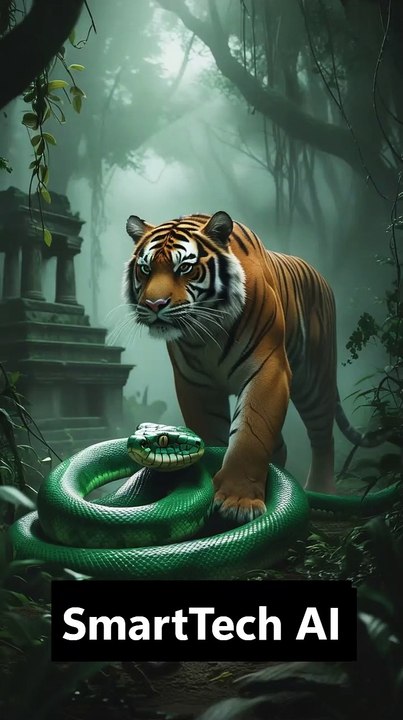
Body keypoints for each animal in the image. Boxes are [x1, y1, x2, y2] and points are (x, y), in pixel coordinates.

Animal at [124, 210, 388, 523]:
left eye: (185, 268)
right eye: (145, 269)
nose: (154, 305)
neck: (205, 333)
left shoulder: (269, 369)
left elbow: (252, 434)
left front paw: (238, 501)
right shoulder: (196, 385)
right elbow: (211, 434)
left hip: (315, 380)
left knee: (323, 436)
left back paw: (320, 490)